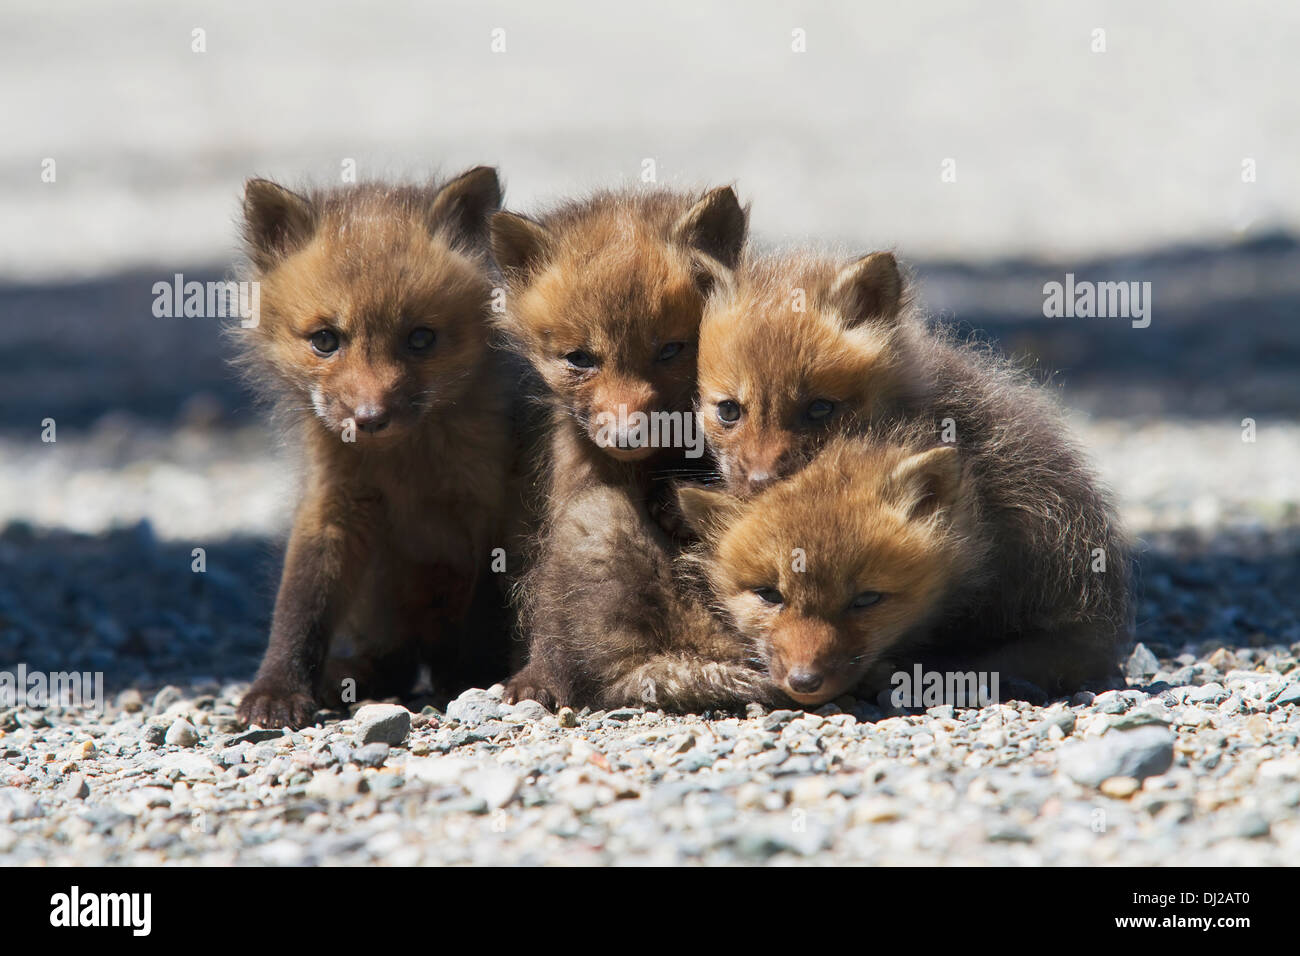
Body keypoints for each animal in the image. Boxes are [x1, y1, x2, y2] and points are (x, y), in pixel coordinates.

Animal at [233, 167, 527, 729]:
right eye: (325, 340)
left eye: (421, 338)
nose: (370, 418)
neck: (405, 465)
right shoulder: (333, 503)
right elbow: (300, 605)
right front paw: (277, 688)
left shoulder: (496, 509)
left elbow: (486, 612)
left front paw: (474, 678)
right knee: (396, 657)